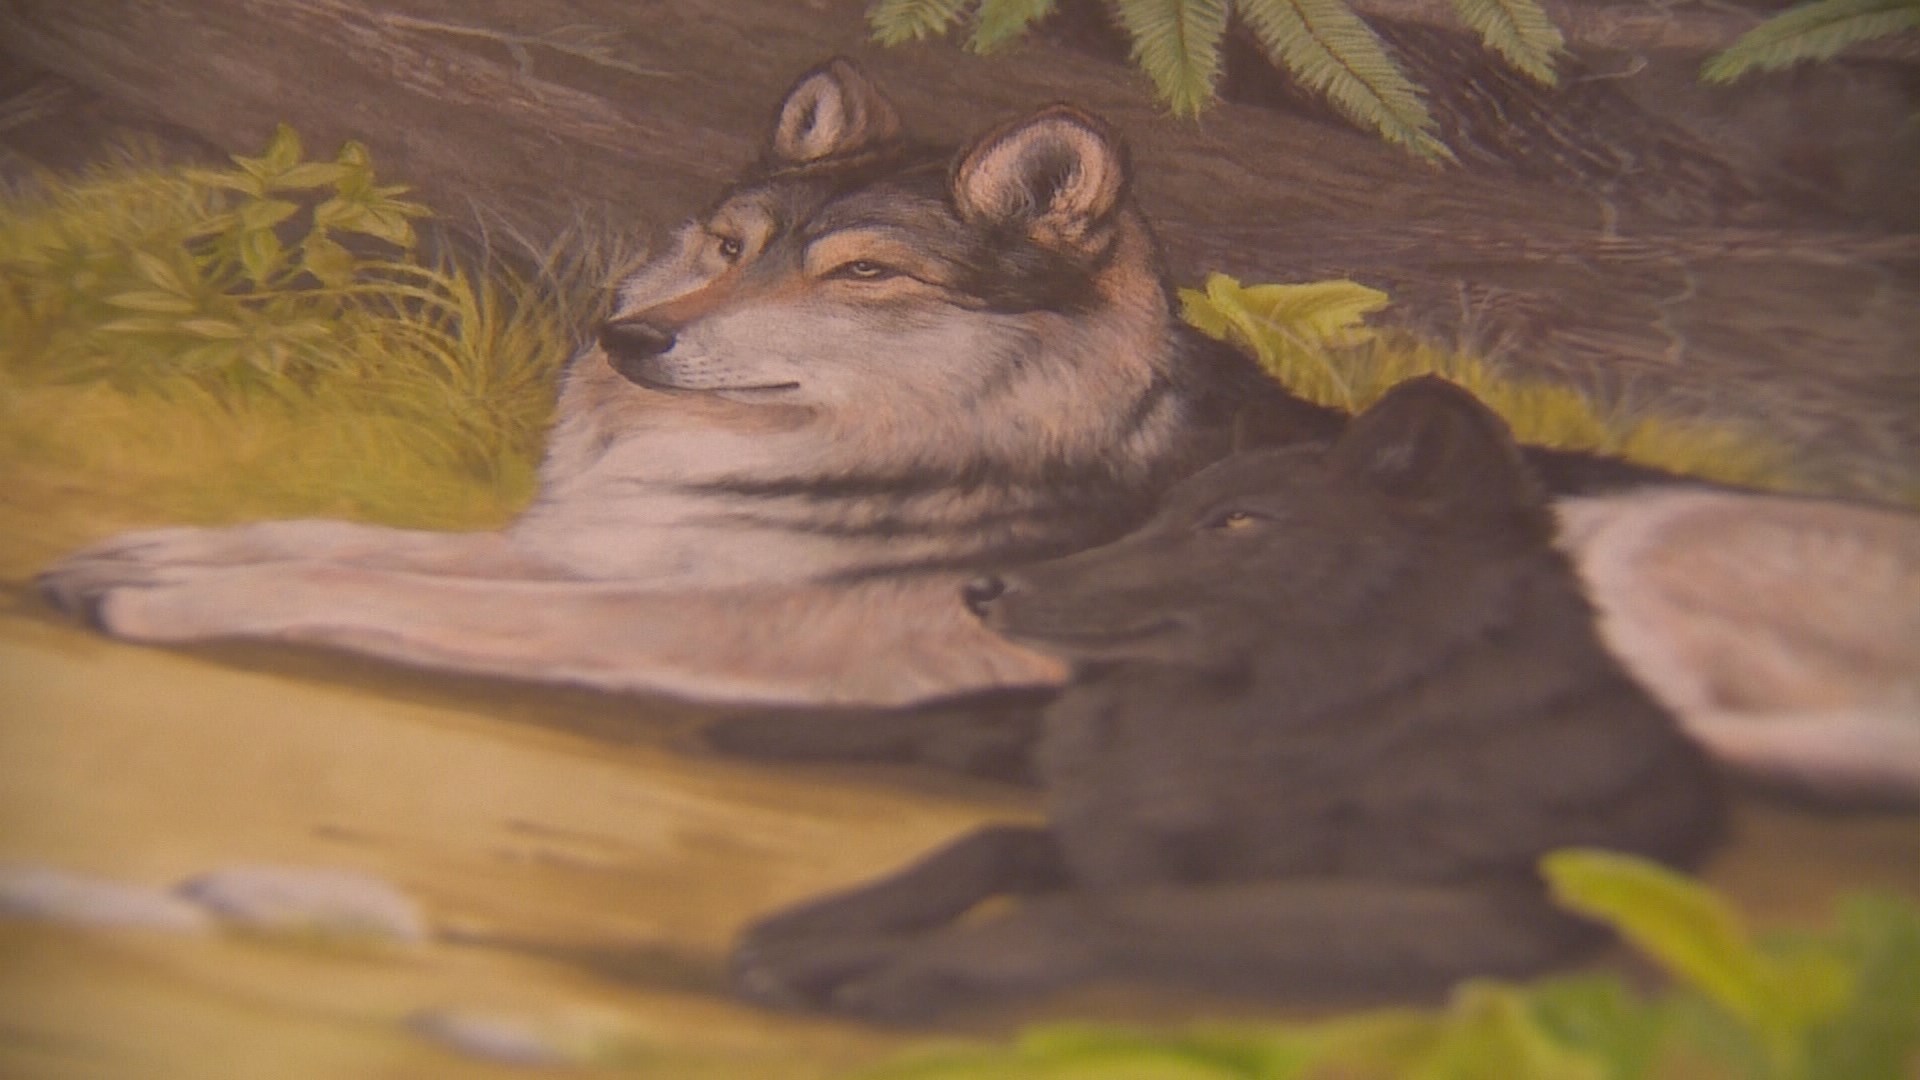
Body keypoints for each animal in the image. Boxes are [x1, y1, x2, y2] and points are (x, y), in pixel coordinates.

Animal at [729, 378, 1726, 1021]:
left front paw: (879, 968)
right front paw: (824, 923)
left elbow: (1086, 905)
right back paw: (759, 725)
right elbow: (986, 841)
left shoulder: (1478, 913)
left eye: (1238, 523)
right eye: (1165, 514)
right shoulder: (1131, 824)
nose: (979, 590)